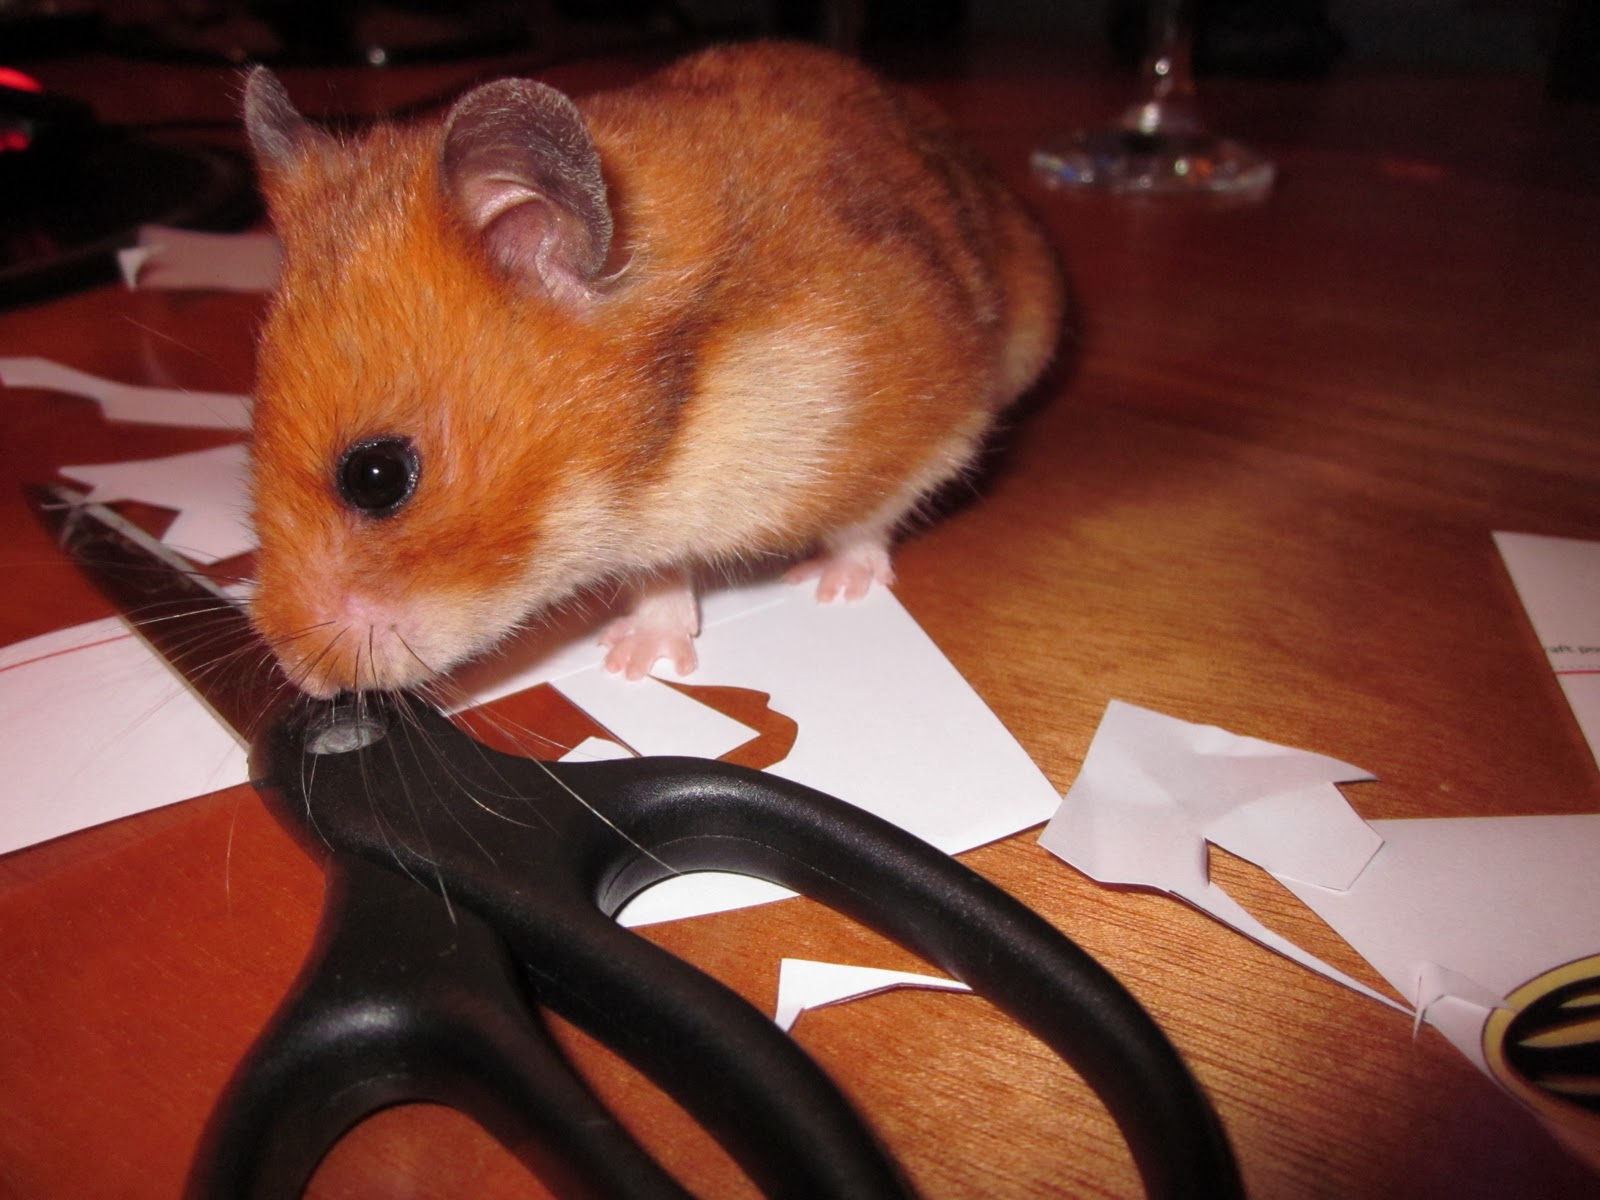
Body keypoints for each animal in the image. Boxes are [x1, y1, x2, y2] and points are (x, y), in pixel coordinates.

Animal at [242, 40, 1063, 699]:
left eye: (376, 476)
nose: (302, 678)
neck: (665, 452)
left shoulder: (927, 415)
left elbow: (869, 518)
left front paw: (831, 591)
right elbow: (661, 575)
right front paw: (634, 663)